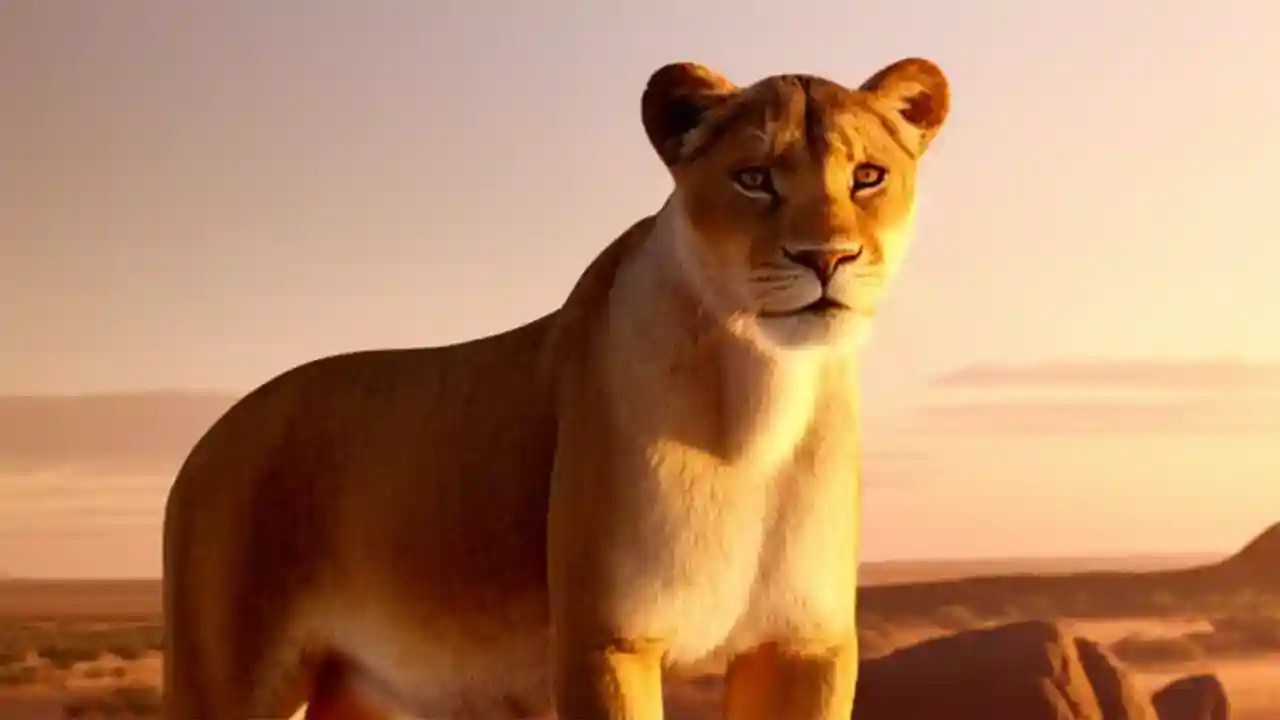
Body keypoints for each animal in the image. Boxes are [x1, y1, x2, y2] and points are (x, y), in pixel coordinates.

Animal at [162, 56, 950, 720]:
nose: (826, 257)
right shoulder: (605, 639)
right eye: (754, 178)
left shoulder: (803, 644)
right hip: (228, 678)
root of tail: (212, 435)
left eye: (868, 176)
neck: (759, 404)